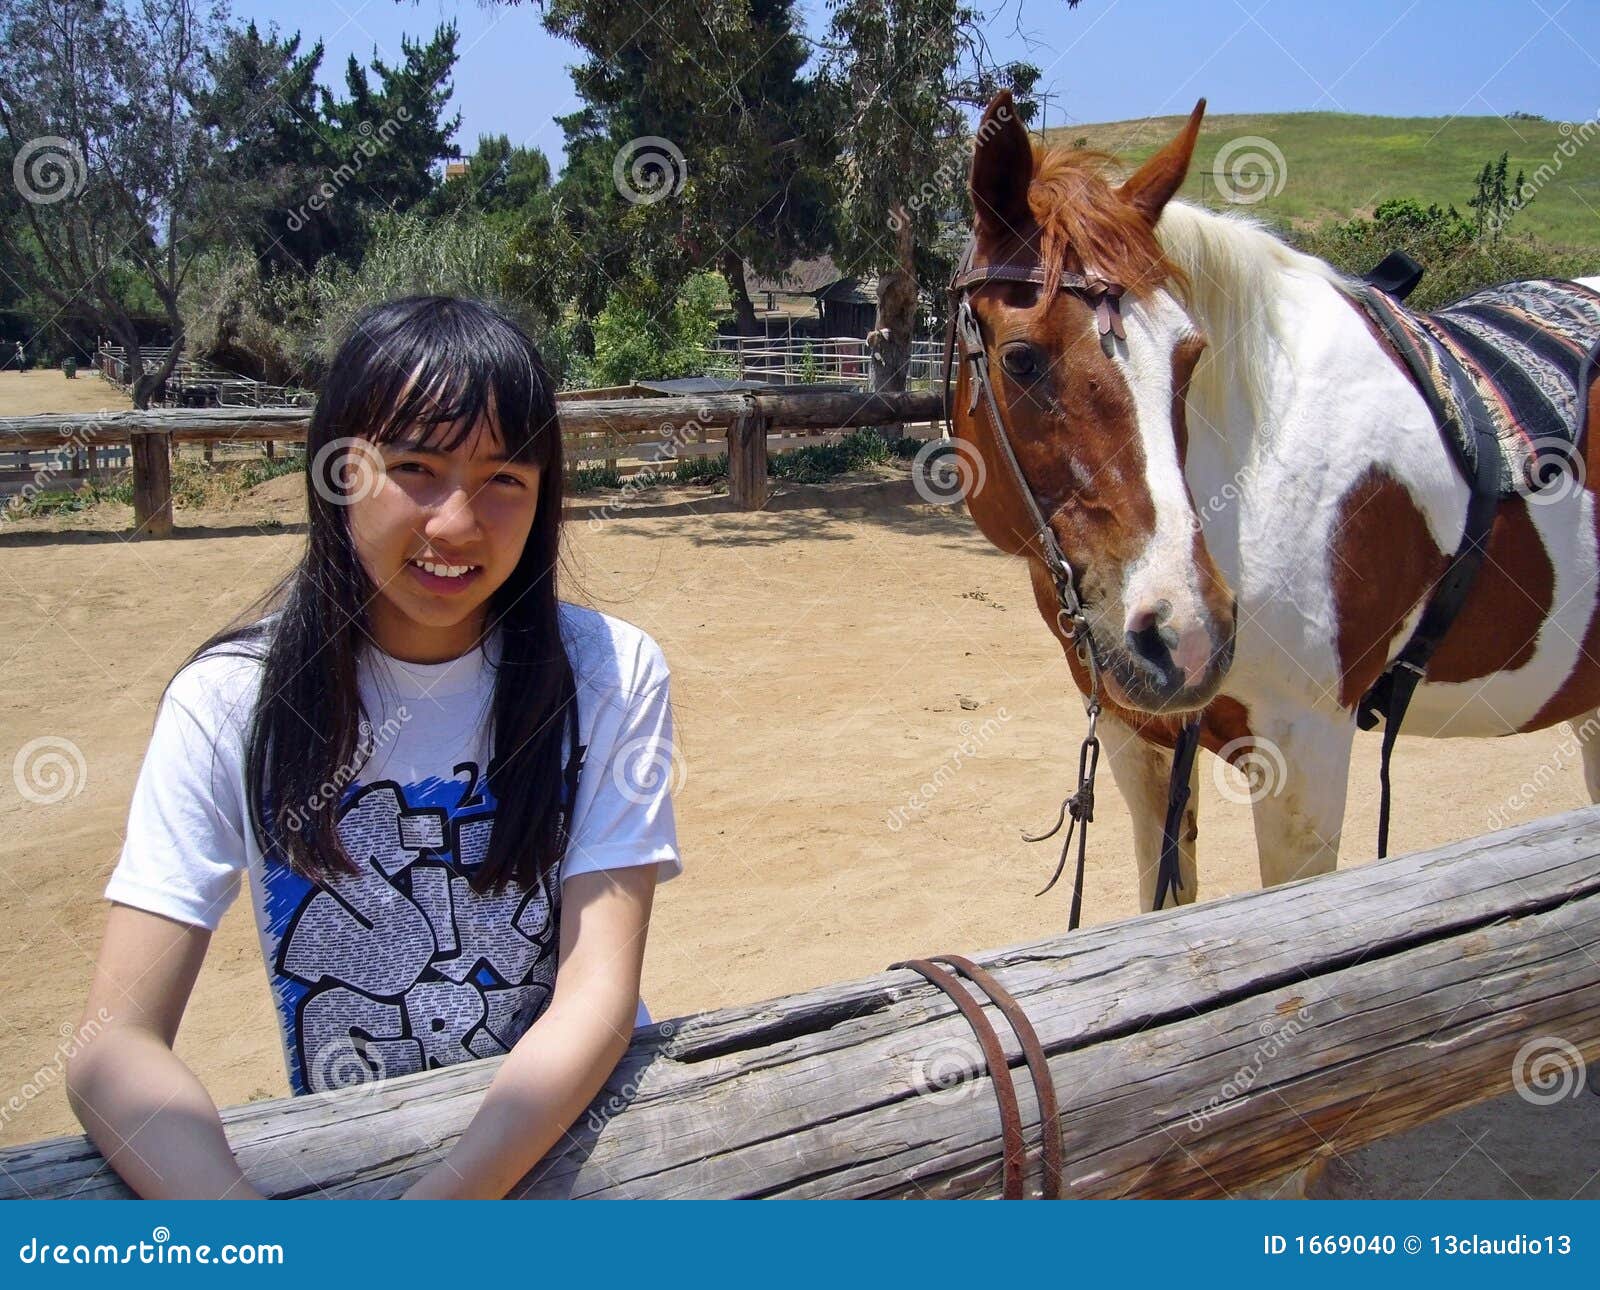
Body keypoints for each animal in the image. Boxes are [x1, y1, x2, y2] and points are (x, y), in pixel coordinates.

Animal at [950, 91, 1600, 914]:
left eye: (1190, 354)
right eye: (1021, 359)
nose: (1184, 632)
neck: (1247, 483)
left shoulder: (1305, 754)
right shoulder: (1142, 743)